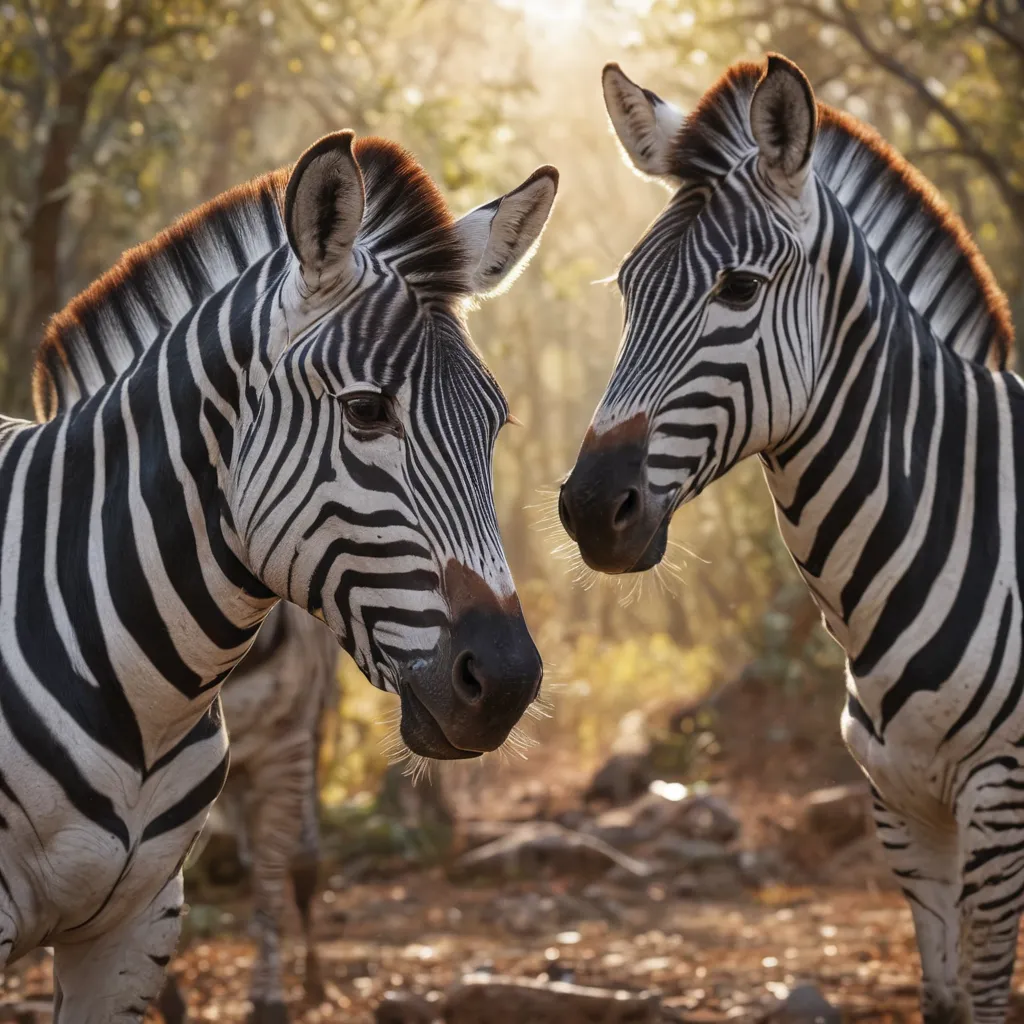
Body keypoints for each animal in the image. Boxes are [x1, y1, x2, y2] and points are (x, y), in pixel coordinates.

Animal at [558, 53, 1023, 1023]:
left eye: (738, 288)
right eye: (627, 289)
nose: (589, 508)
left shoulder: (1000, 797)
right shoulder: (900, 803)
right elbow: (946, 998)